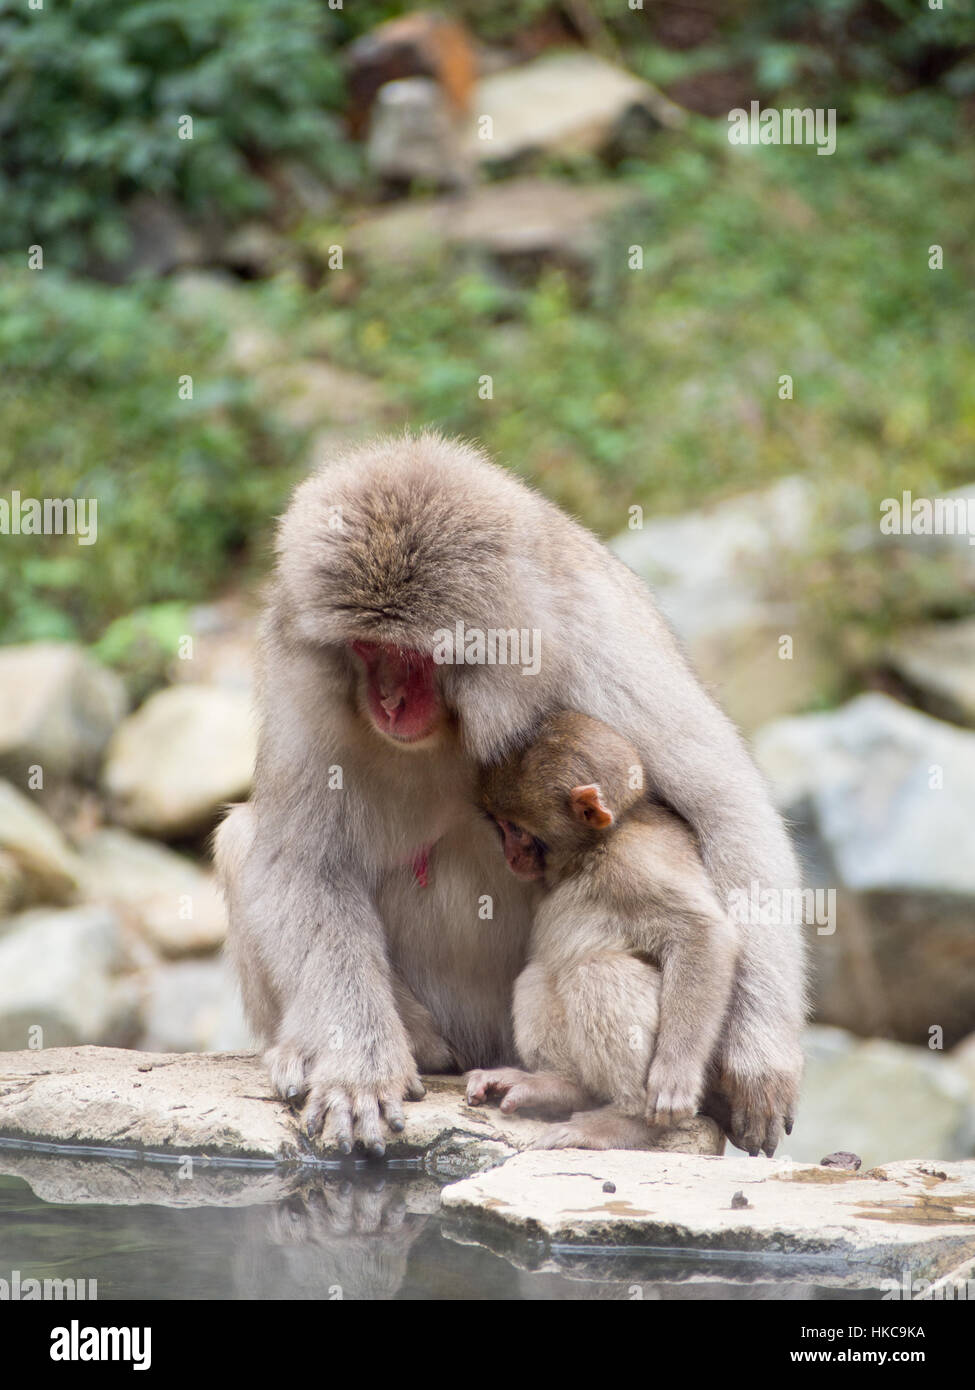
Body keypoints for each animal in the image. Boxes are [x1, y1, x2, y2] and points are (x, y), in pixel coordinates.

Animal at [465, 710, 740, 1149]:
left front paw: (674, 1072)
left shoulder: (631, 863)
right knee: (540, 974)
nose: (510, 855)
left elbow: (703, 933)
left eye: (518, 830)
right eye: (501, 827)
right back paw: (560, 1086)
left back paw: (627, 1120)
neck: (589, 852)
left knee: (596, 970)